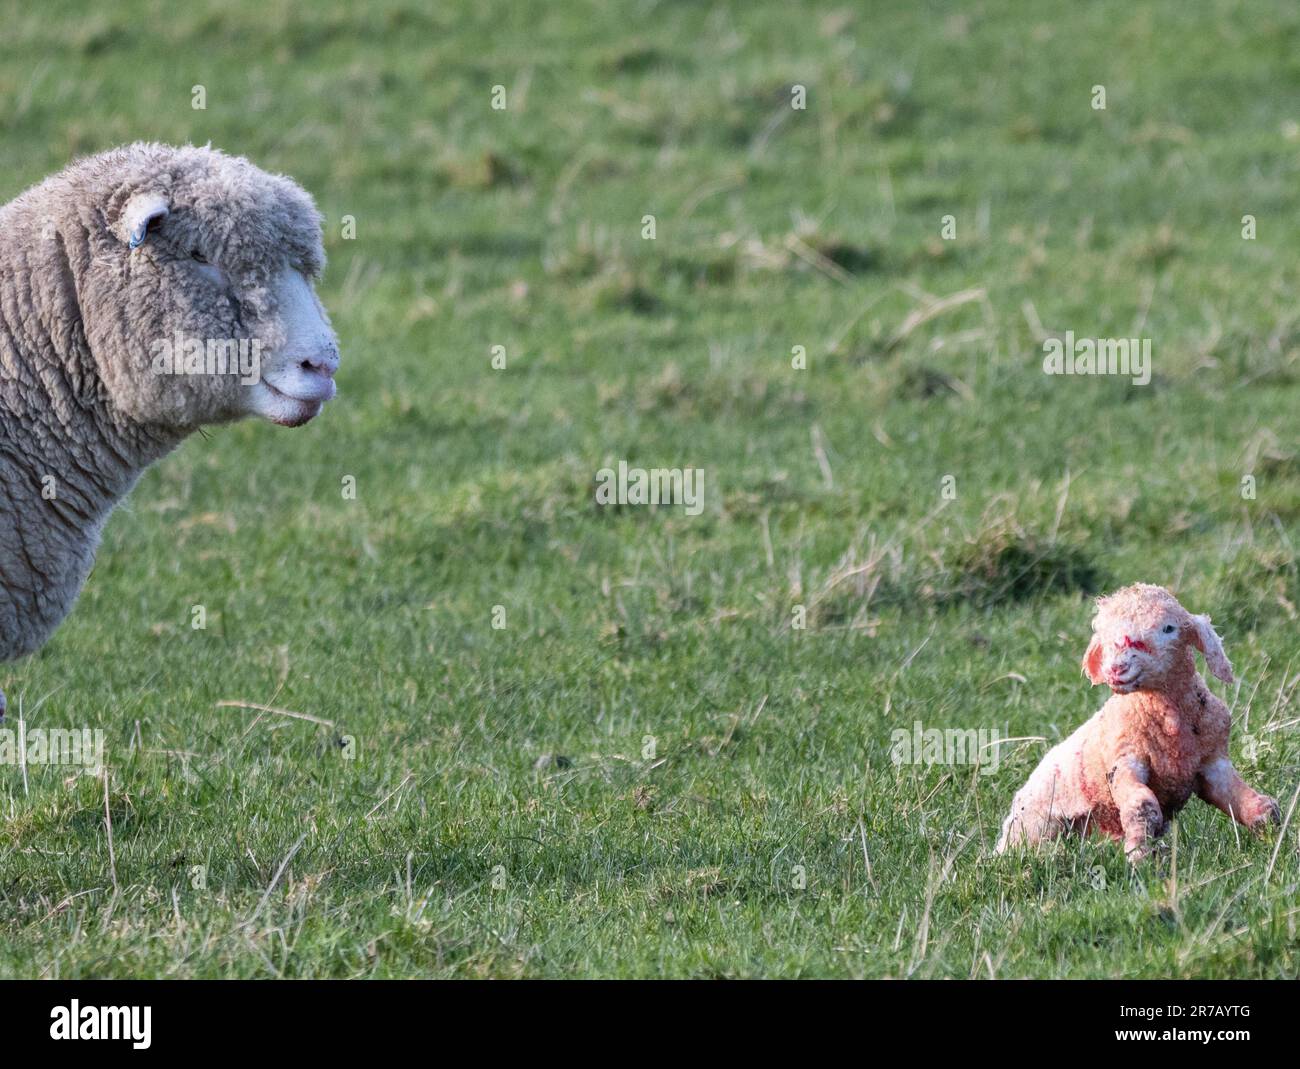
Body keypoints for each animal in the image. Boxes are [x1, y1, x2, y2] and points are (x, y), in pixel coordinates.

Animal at [996, 583, 1279, 861]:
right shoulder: (1125, 759)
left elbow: (1253, 803)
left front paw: (1273, 837)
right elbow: (1142, 805)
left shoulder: (1212, 762)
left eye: (1168, 628)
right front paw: (1140, 855)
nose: (1116, 669)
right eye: (1105, 634)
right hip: (1035, 824)